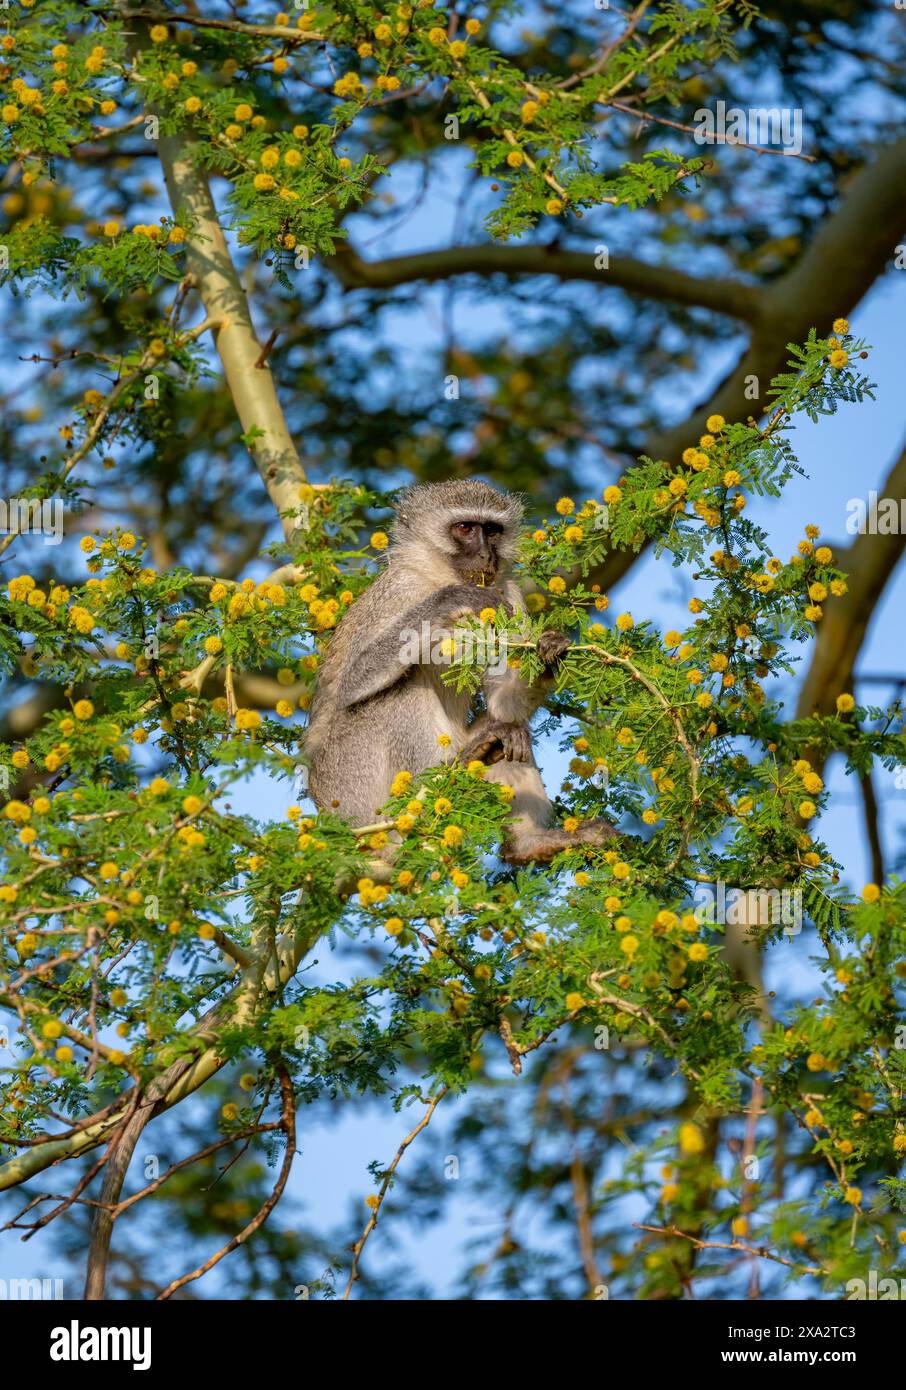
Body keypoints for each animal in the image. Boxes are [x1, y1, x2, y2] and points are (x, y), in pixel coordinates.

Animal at [306, 478, 619, 864]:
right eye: (466, 528)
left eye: (493, 530)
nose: (487, 556)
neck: (437, 575)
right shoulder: (401, 589)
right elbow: (353, 679)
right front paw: (452, 599)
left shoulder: (509, 596)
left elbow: (502, 700)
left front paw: (549, 654)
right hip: (356, 791)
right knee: (396, 691)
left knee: (507, 727)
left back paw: (529, 841)